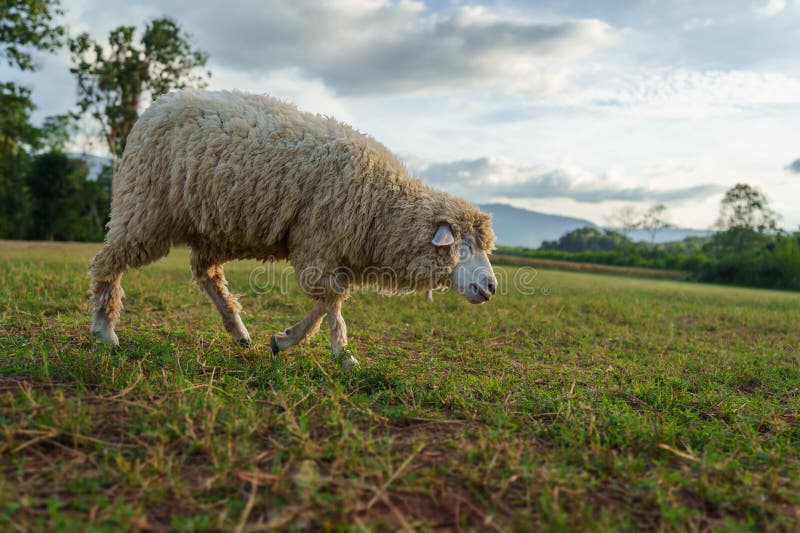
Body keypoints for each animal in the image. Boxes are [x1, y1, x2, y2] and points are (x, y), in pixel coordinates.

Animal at [89, 89, 497, 370]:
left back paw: (239, 332)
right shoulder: (318, 243)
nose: (492, 287)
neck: (383, 204)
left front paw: (287, 340)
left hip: (209, 229)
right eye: (464, 246)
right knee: (108, 262)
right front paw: (340, 353)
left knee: (207, 276)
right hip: (145, 208)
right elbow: (331, 300)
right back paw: (104, 331)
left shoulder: (334, 253)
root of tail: (156, 106)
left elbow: (329, 299)